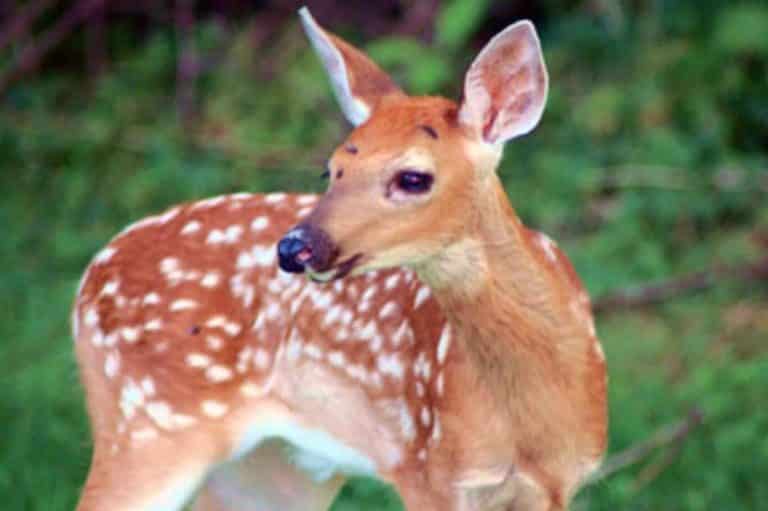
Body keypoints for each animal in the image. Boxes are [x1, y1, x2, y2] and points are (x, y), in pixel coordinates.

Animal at [72, 7, 607, 511]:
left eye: (413, 178)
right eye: (331, 170)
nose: (293, 247)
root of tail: (91, 276)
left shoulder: (556, 486)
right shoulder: (429, 470)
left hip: (272, 467)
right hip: (148, 421)